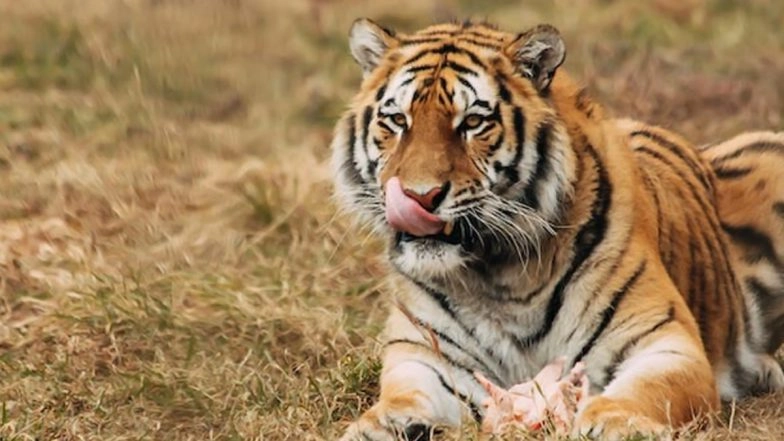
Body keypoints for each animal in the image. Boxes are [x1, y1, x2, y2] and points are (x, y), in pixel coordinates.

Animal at [330, 18, 784, 440]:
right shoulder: (424, 356)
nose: (419, 196)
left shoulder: (663, 341)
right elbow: (402, 399)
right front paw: (378, 425)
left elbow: (641, 393)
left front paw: (613, 422)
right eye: (397, 120)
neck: (498, 275)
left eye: (473, 122)